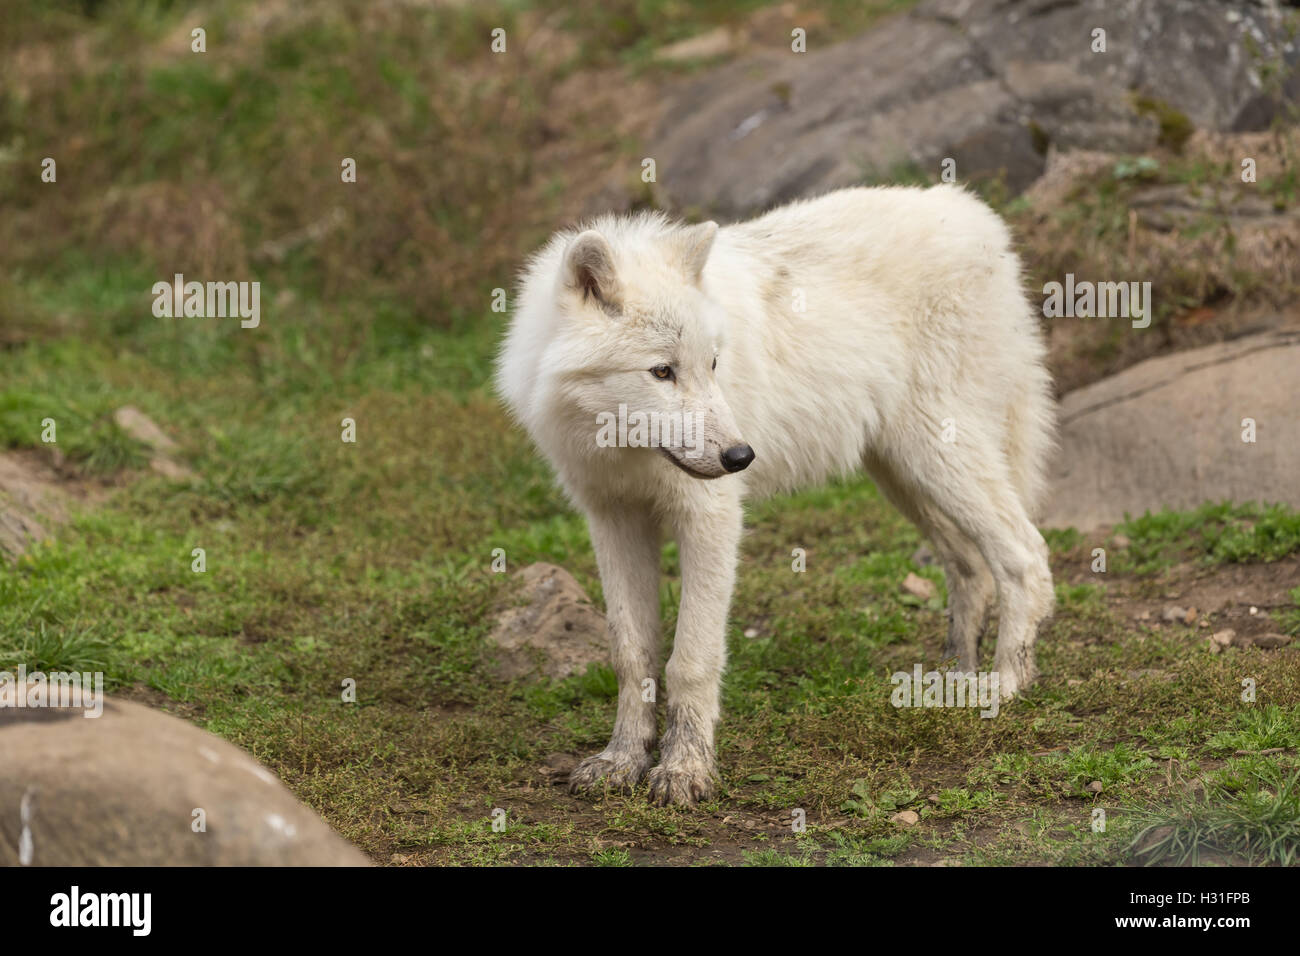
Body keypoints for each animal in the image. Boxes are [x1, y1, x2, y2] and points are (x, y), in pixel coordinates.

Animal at [495, 185, 1056, 806]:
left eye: (713, 365)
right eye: (661, 371)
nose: (741, 456)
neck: (624, 452)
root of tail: (968, 209)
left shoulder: (711, 519)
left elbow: (690, 659)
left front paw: (685, 769)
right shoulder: (612, 519)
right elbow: (630, 651)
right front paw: (622, 759)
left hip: (939, 457)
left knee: (1025, 553)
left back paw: (1003, 685)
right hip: (903, 474)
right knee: (970, 567)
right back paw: (956, 678)